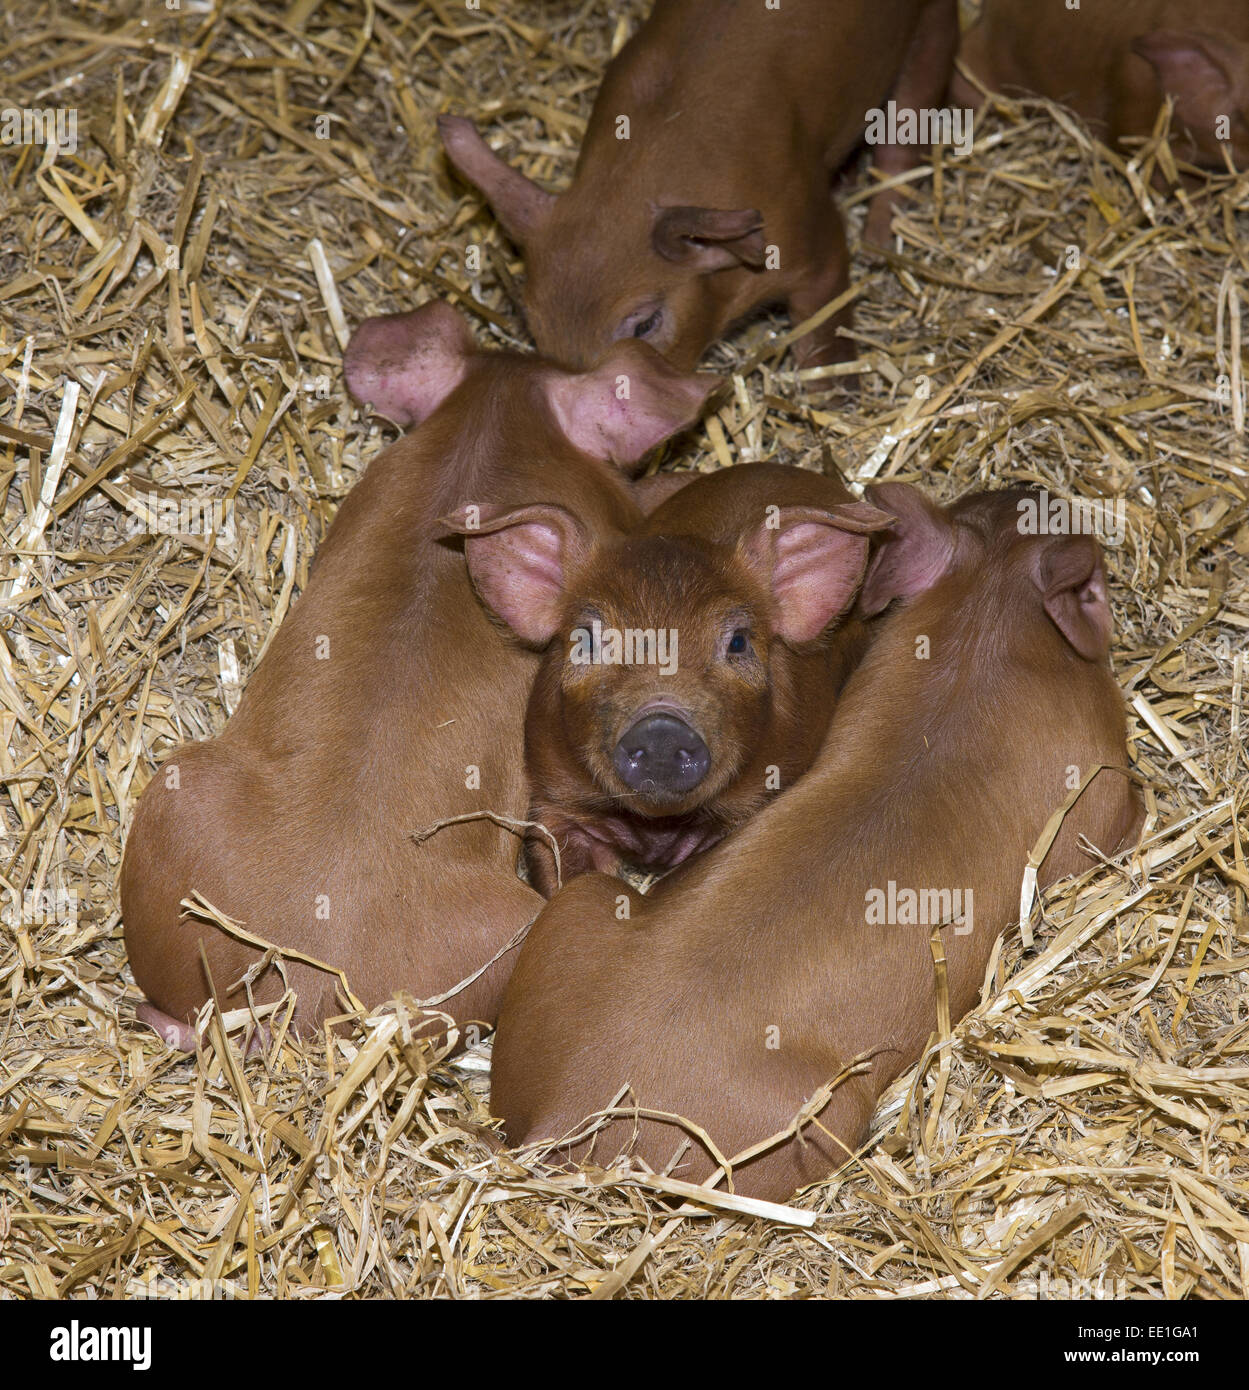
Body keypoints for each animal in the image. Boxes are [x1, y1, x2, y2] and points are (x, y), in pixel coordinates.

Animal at [438, 0, 959, 375]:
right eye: (533, 325)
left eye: (645, 324)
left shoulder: (807, 231)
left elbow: (824, 317)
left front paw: (835, 391)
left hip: (931, 25)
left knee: (904, 132)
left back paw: (878, 243)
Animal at [490, 484, 1143, 1202]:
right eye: (1097, 587)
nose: (1033, 490)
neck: (988, 625)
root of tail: (566, 1112)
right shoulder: (1098, 789)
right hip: (820, 1121)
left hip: (577, 913)